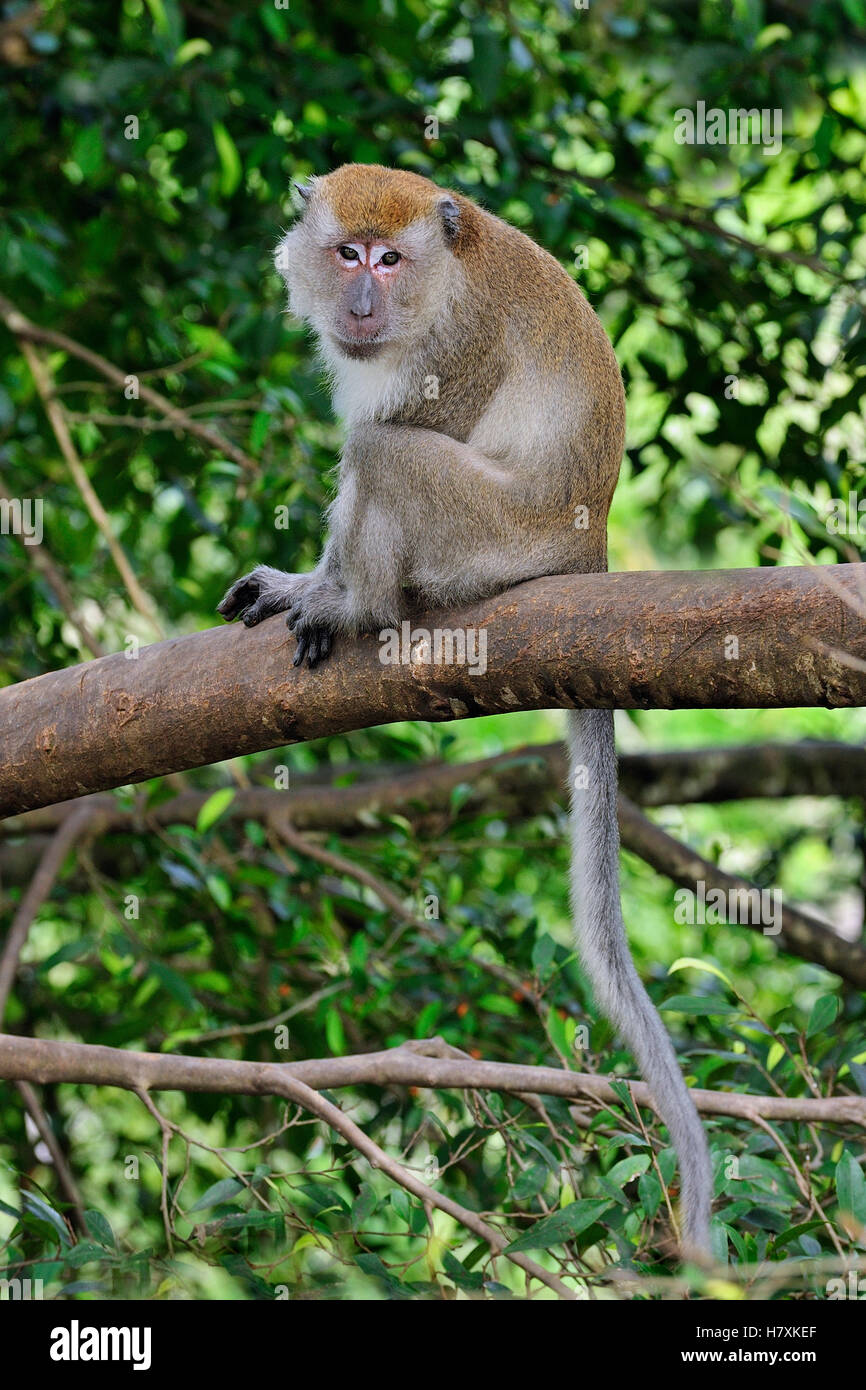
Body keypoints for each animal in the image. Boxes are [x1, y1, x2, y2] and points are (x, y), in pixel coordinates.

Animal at [217, 164, 713, 1260]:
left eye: (387, 258)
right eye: (345, 253)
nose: (360, 301)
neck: (435, 283)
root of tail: (586, 548)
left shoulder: (458, 346)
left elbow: (398, 438)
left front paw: (329, 588)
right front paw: (296, 580)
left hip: (485, 535)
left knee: (385, 451)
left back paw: (359, 600)